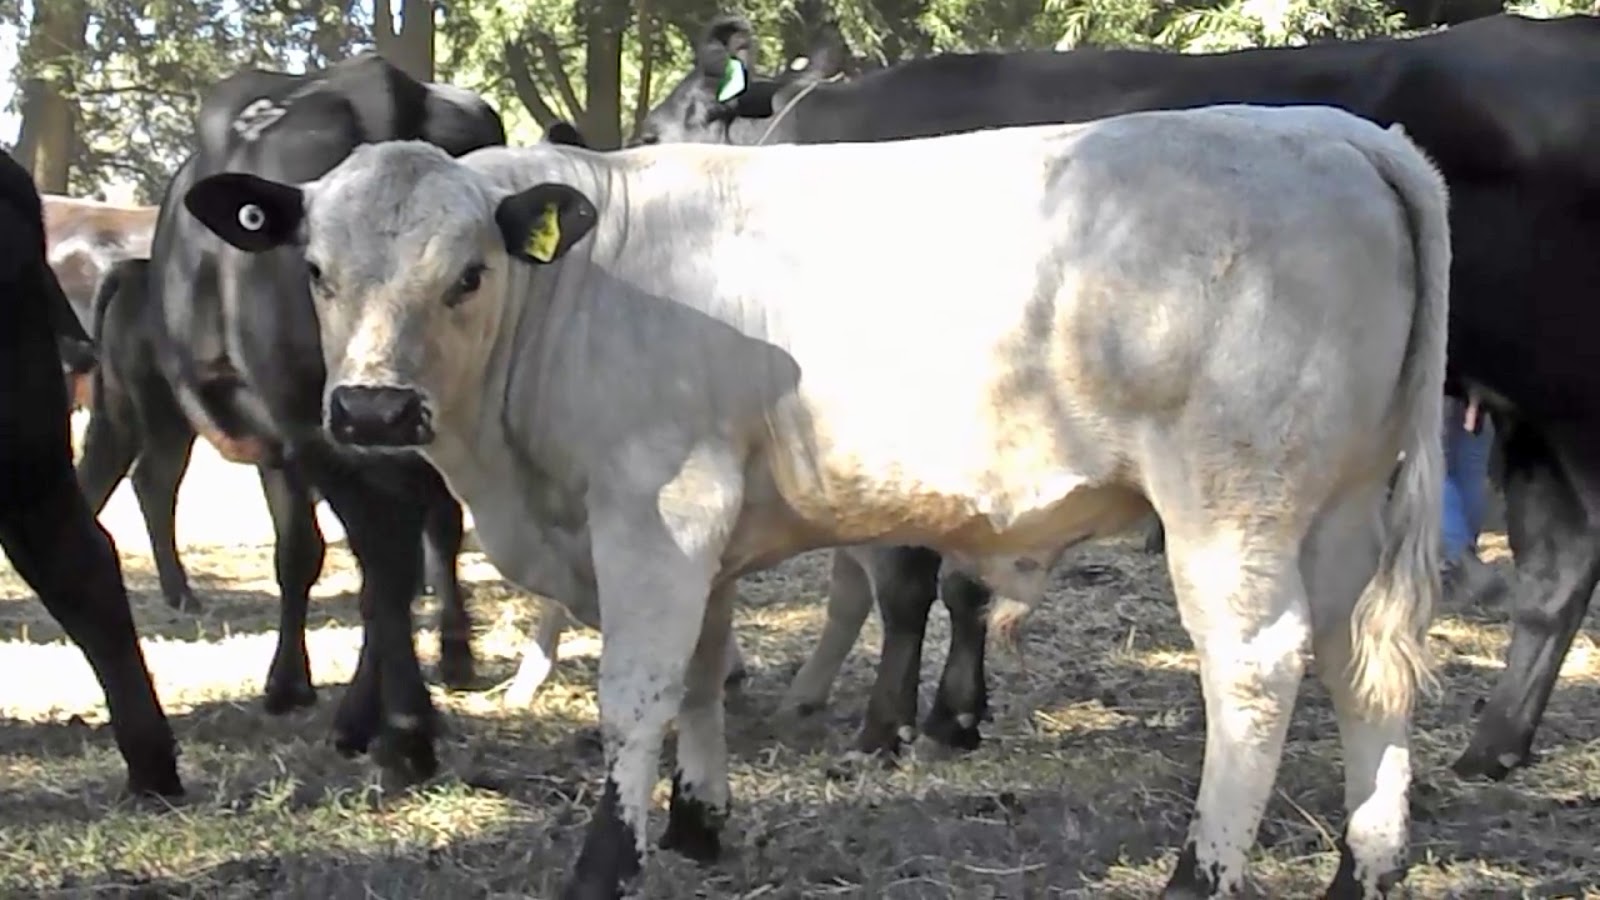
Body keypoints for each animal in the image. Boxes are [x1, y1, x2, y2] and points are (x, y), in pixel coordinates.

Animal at [142, 52, 500, 773]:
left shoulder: (286, 439)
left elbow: (299, 554)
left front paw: (288, 684)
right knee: (414, 544)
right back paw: (420, 683)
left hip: (316, 417)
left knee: (382, 556)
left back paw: (398, 725)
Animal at [181, 103, 1450, 899]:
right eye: (315, 271)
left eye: (467, 274)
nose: (372, 411)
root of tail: (1332, 128)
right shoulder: (702, 530)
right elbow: (700, 672)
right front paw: (695, 824)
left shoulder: (655, 508)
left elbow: (633, 694)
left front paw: (608, 859)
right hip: (1343, 508)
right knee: (1362, 670)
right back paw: (1361, 869)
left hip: (1234, 506)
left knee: (1258, 670)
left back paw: (1198, 874)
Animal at [640, 12, 1600, 781]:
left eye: (658, 123)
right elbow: (964, 583)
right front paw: (956, 715)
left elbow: (908, 582)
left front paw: (888, 727)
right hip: (1533, 419)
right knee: (1558, 568)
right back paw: (1492, 748)